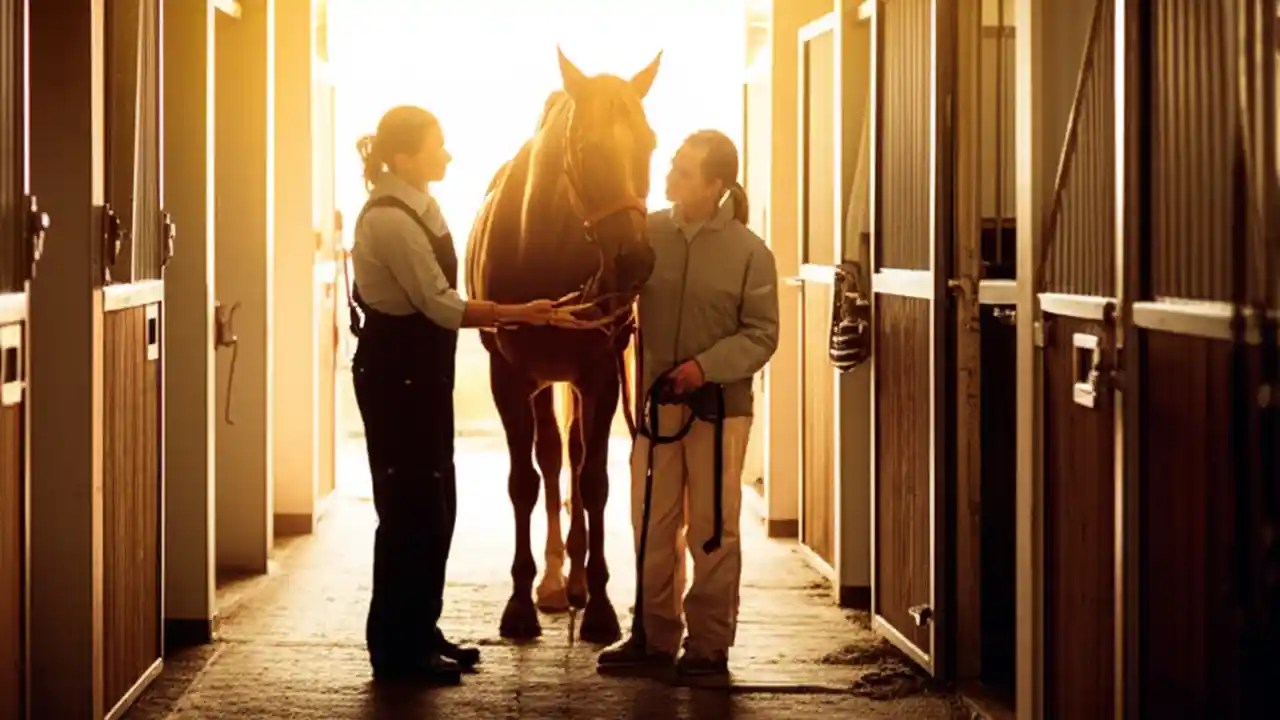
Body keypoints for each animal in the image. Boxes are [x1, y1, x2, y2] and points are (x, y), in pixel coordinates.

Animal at [464, 49, 661, 644]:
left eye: (649, 143)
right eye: (585, 149)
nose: (634, 261)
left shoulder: (599, 374)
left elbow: (594, 481)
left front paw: (599, 606)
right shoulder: (509, 380)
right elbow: (524, 482)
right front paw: (519, 604)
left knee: (572, 457)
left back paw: (573, 582)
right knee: (552, 459)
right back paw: (552, 582)